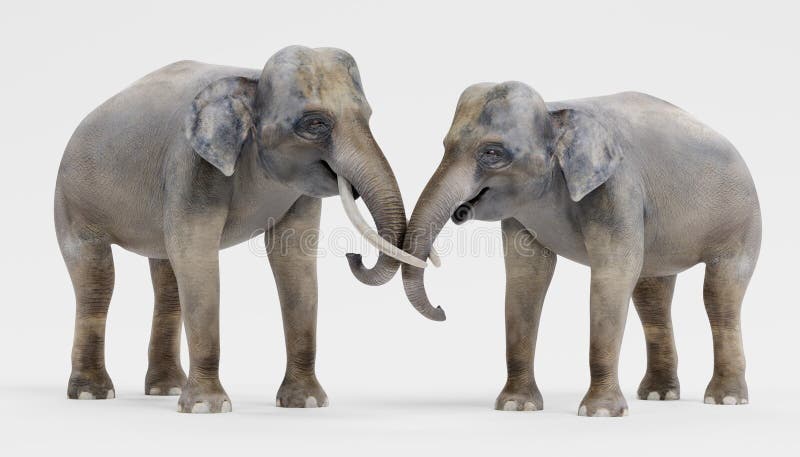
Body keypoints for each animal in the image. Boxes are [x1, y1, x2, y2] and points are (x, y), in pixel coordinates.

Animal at [54, 45, 423, 413]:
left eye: (369, 116)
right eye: (315, 124)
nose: (353, 255)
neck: (253, 79)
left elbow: (295, 262)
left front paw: (306, 402)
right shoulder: (192, 165)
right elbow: (196, 258)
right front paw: (207, 407)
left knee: (167, 278)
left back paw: (166, 389)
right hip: (72, 200)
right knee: (97, 280)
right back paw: (92, 393)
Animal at [400, 82, 761, 417]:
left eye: (492, 153)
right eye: (445, 146)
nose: (442, 310)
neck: (555, 111)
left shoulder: (617, 189)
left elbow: (613, 276)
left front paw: (599, 412)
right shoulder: (521, 211)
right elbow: (525, 279)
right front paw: (517, 406)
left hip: (742, 222)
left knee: (719, 295)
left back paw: (726, 399)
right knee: (652, 297)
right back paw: (659, 395)